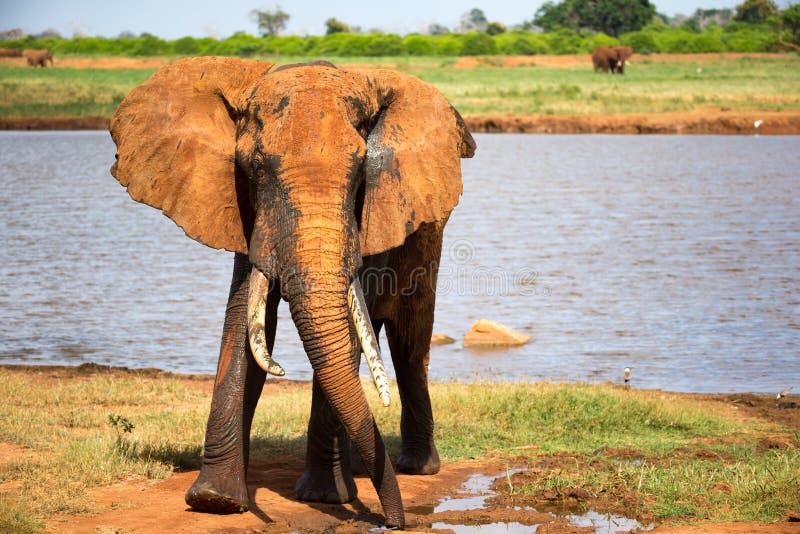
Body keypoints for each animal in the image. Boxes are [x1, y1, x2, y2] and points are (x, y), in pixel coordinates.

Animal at [109, 57, 475, 529]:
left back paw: (415, 467)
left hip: (428, 240)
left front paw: (324, 497)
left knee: (409, 343)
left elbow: (345, 327)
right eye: (254, 167)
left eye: (362, 170)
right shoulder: (248, 214)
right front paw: (215, 500)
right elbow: (244, 321)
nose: (394, 522)